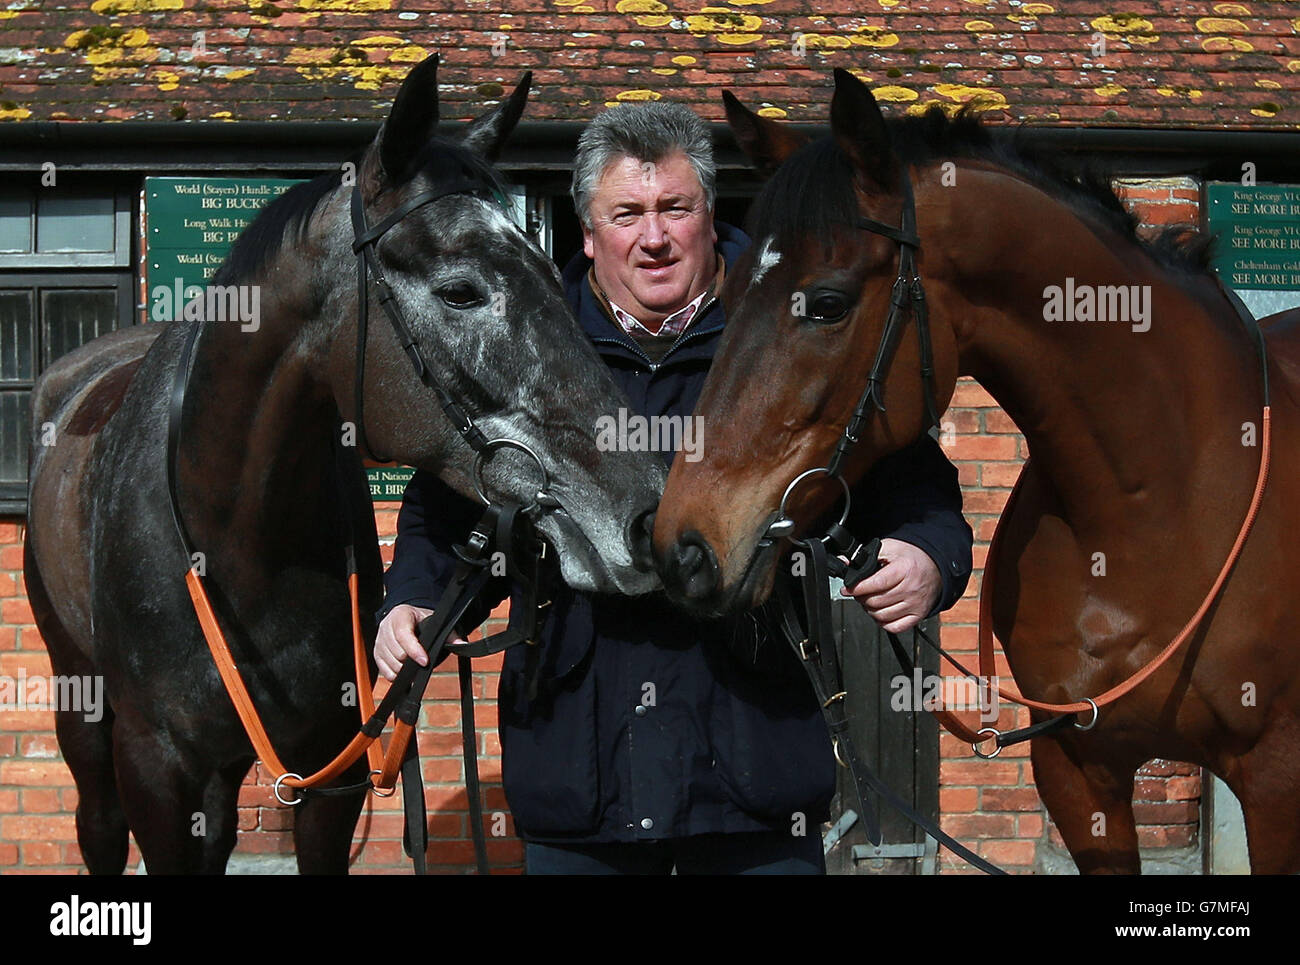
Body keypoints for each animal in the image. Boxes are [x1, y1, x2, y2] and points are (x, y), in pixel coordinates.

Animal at [23, 54, 665, 874]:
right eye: (462, 290)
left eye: (557, 277)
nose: (645, 514)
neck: (234, 540)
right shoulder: (155, 769)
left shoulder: (331, 766)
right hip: (80, 694)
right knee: (97, 822)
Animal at [651, 69, 1300, 874]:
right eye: (729, 291)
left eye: (827, 303)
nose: (683, 547)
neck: (1160, 504)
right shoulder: (1078, 772)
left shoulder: (1276, 781)